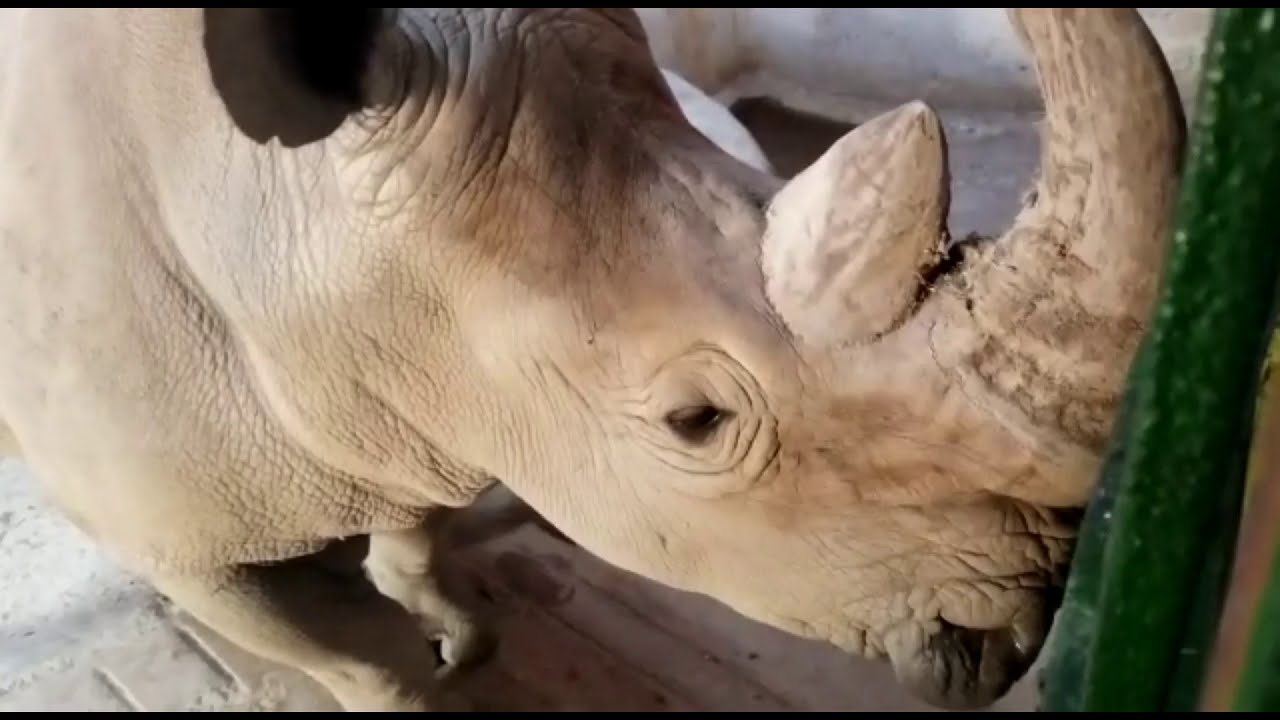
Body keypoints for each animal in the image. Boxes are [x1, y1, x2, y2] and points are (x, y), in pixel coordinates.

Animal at [0, 7, 1184, 712]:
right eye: (696, 421)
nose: (1018, 633)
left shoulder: (418, 392)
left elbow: (416, 530)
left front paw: (458, 635)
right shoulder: (174, 542)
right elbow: (352, 659)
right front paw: (419, 683)